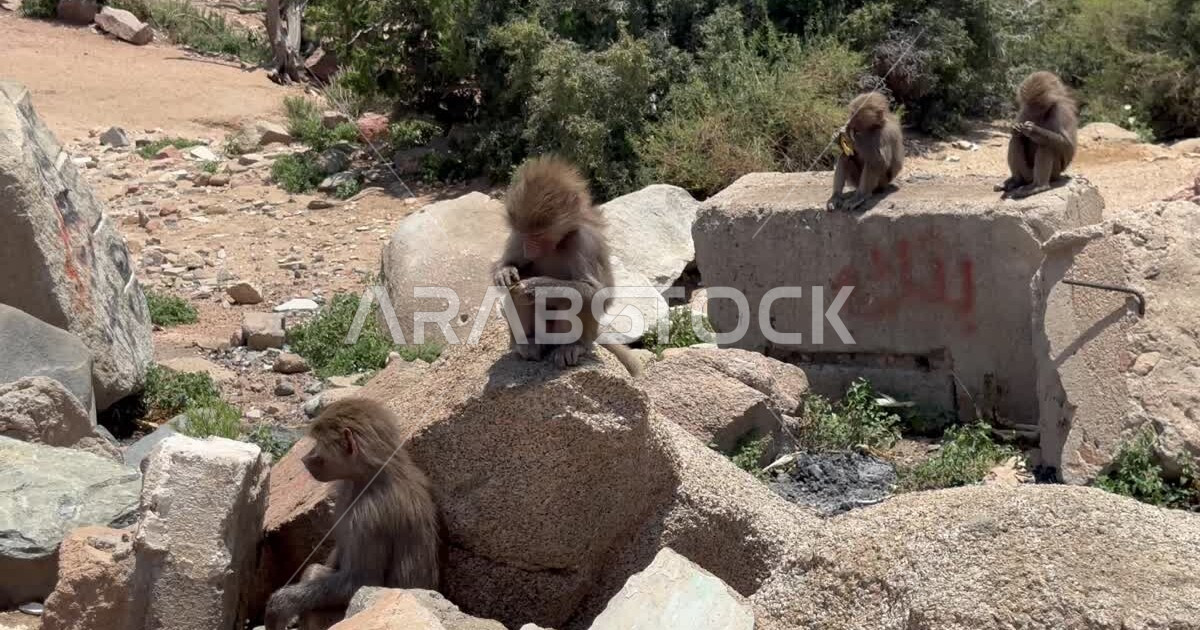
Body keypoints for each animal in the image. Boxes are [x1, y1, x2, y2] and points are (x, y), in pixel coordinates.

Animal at [264, 397, 443, 630]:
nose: (304, 458)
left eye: (318, 444)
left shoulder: (369, 515)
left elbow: (360, 582)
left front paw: (280, 606)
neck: (369, 476)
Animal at [492, 155, 643, 377]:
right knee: (516, 294)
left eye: (538, 235)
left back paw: (572, 347)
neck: (559, 242)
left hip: (583, 334)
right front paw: (505, 272)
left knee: (573, 300)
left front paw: (534, 285)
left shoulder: (584, 241)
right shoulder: (517, 237)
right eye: (524, 233)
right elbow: (511, 269)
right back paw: (528, 344)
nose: (528, 250)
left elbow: (597, 294)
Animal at [996, 71, 1078, 199]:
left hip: (1055, 173)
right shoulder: (1025, 110)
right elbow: (1017, 132)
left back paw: (1039, 186)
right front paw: (1016, 128)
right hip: (1027, 173)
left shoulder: (1062, 111)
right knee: (1016, 139)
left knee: (1047, 145)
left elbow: (1068, 147)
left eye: (1037, 104)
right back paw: (1016, 181)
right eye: (1029, 104)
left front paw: (1033, 130)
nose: (1031, 110)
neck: (1046, 112)